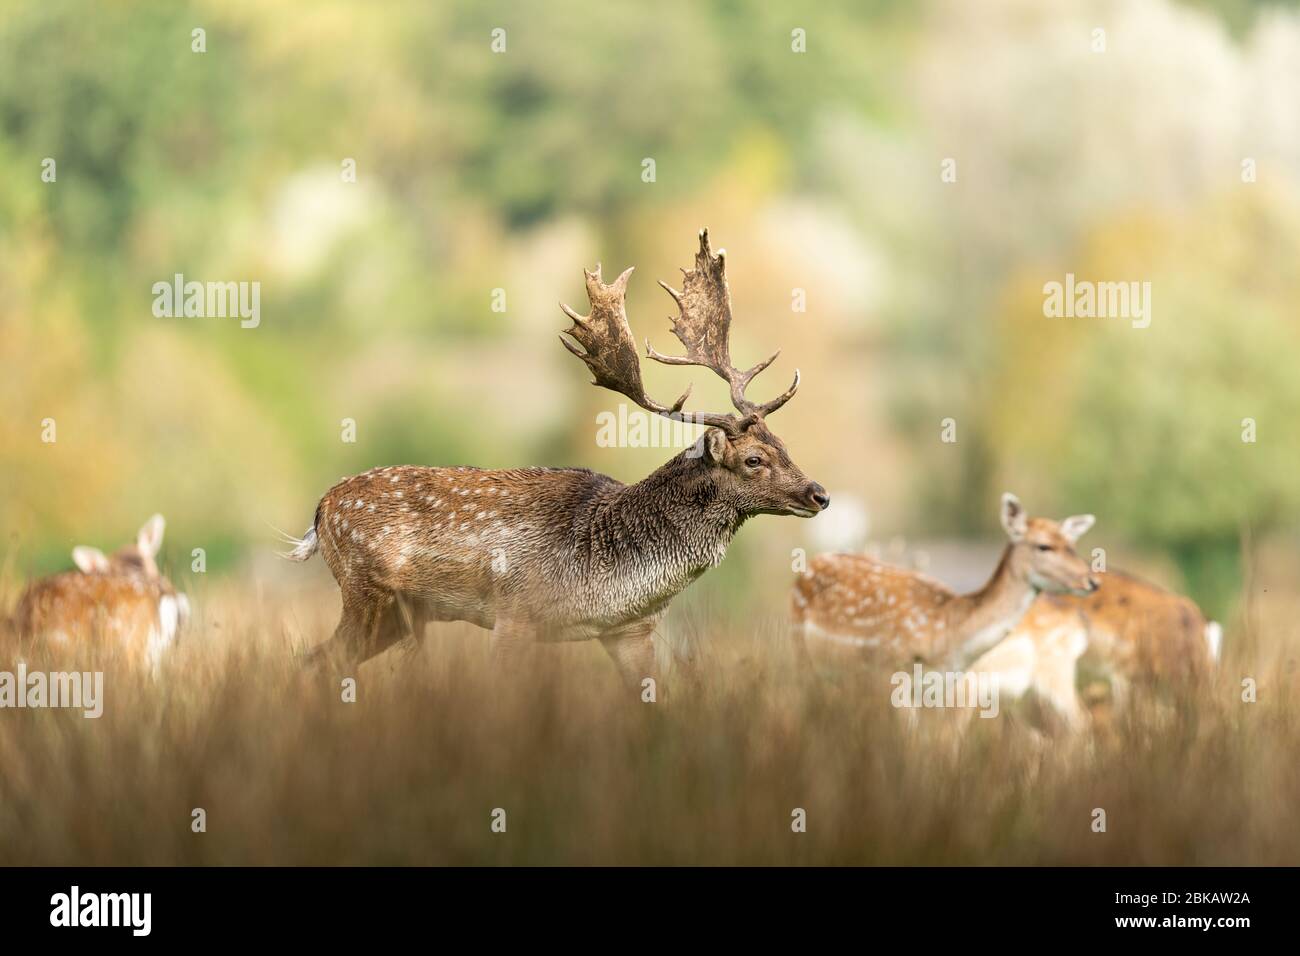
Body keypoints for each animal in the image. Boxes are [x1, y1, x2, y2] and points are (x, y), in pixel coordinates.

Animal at [288, 229, 829, 687]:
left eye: (784, 445)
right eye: (754, 459)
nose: (819, 494)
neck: (605, 572)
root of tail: (320, 511)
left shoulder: (630, 631)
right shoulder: (516, 613)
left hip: (401, 614)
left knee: (315, 659)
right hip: (366, 589)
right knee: (323, 659)